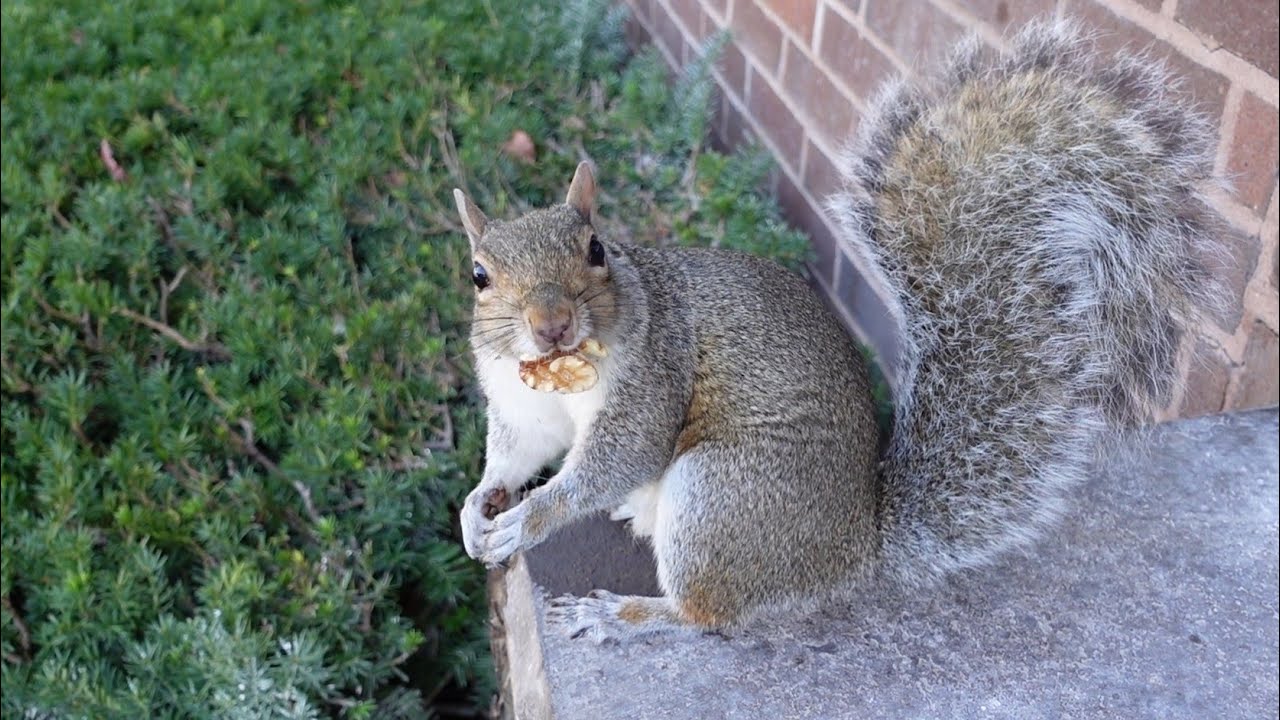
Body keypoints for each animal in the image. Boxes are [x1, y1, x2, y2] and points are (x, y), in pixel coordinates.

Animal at [452, 19, 1226, 643]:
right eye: (479, 275)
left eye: (596, 251)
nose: (551, 325)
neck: (559, 375)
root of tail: (854, 549)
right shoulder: (520, 404)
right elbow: (521, 451)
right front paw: (477, 507)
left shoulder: (652, 374)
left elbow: (616, 457)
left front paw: (531, 517)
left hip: (724, 493)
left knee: (708, 613)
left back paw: (624, 614)